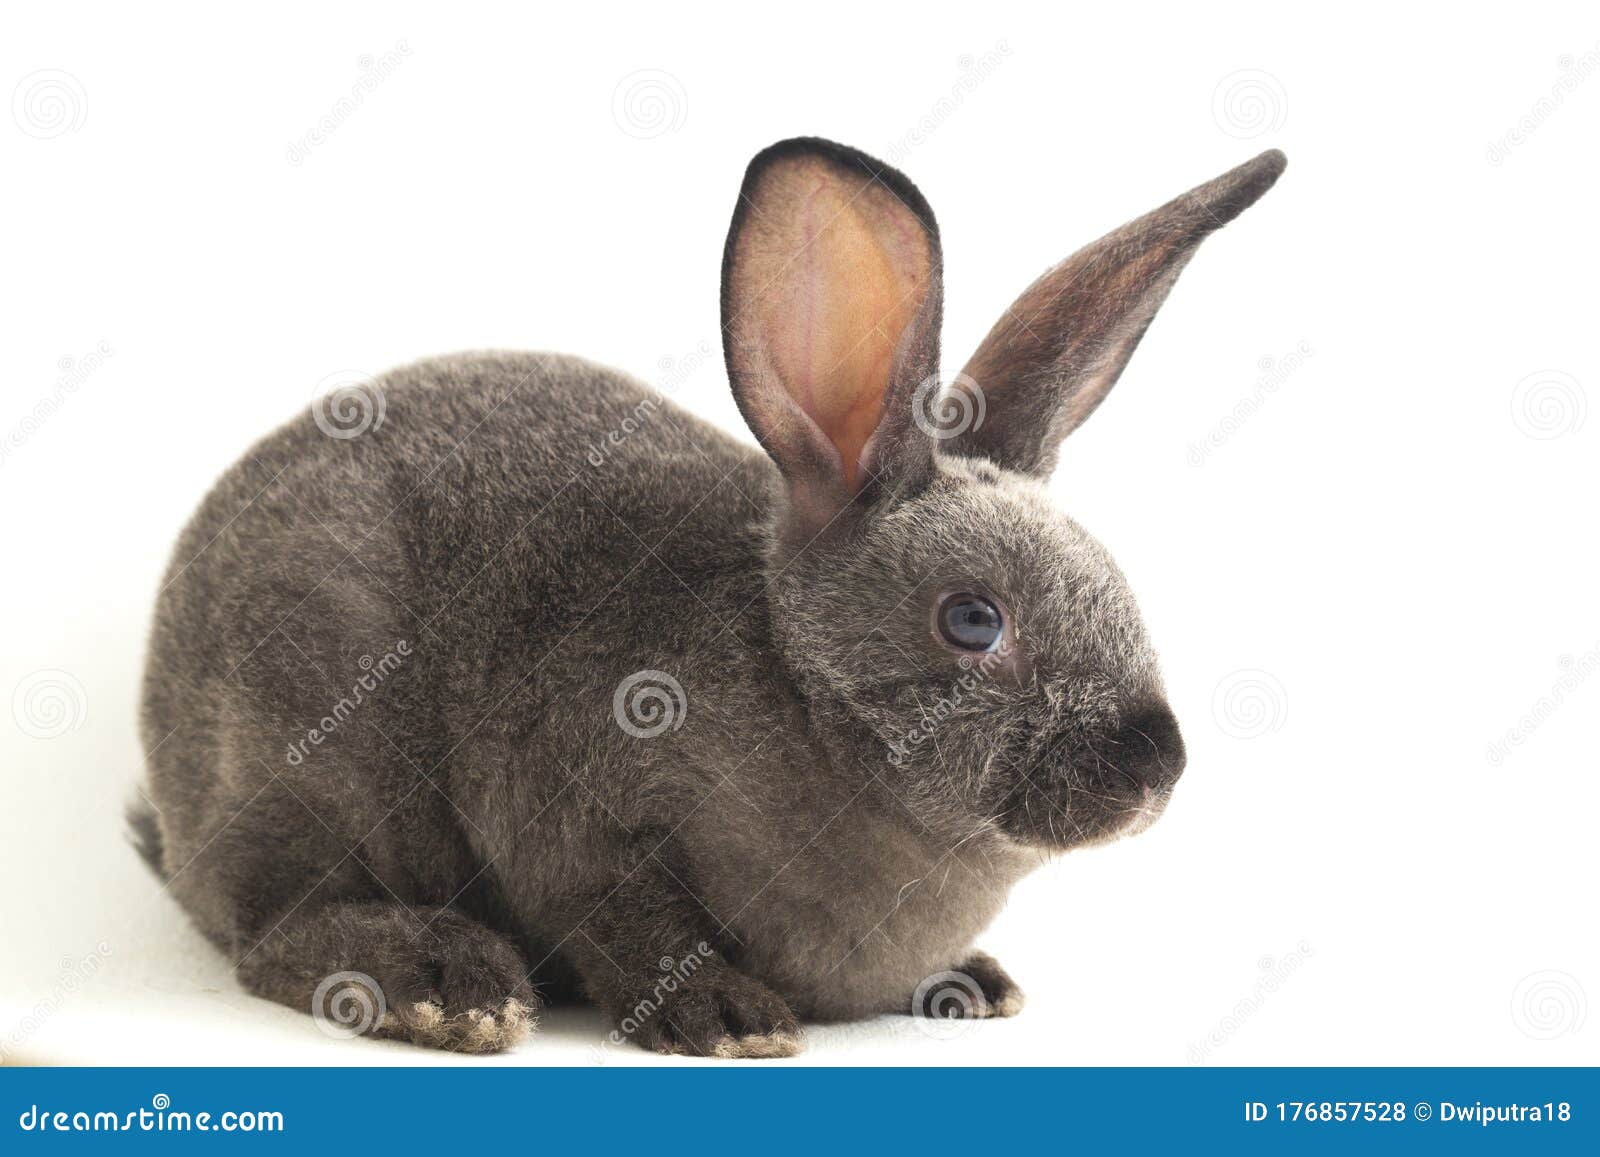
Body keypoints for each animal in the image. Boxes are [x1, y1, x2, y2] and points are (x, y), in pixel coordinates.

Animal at [131, 137, 1285, 1057]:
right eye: (972, 618)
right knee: (276, 928)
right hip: (321, 743)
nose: (1154, 766)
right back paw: (448, 985)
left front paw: (972, 981)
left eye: (1118, 584)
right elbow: (633, 923)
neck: (807, 702)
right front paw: (732, 1018)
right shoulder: (579, 822)